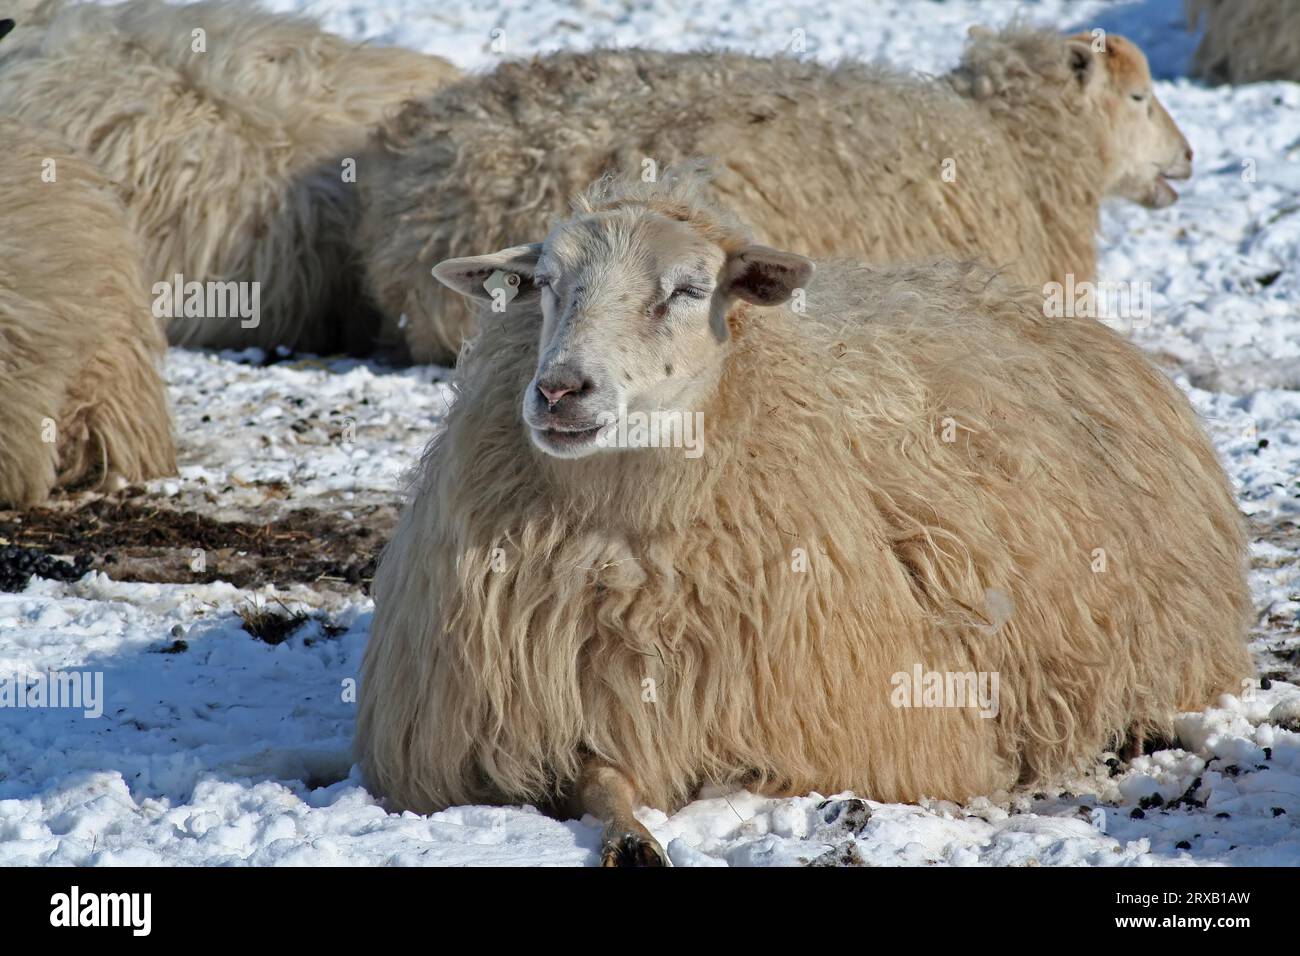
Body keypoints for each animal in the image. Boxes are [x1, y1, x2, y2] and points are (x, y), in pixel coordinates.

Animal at [355, 166, 1252, 866]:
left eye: (687, 290)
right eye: (541, 284)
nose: (559, 391)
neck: (629, 529)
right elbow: (600, 780)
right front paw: (628, 835)